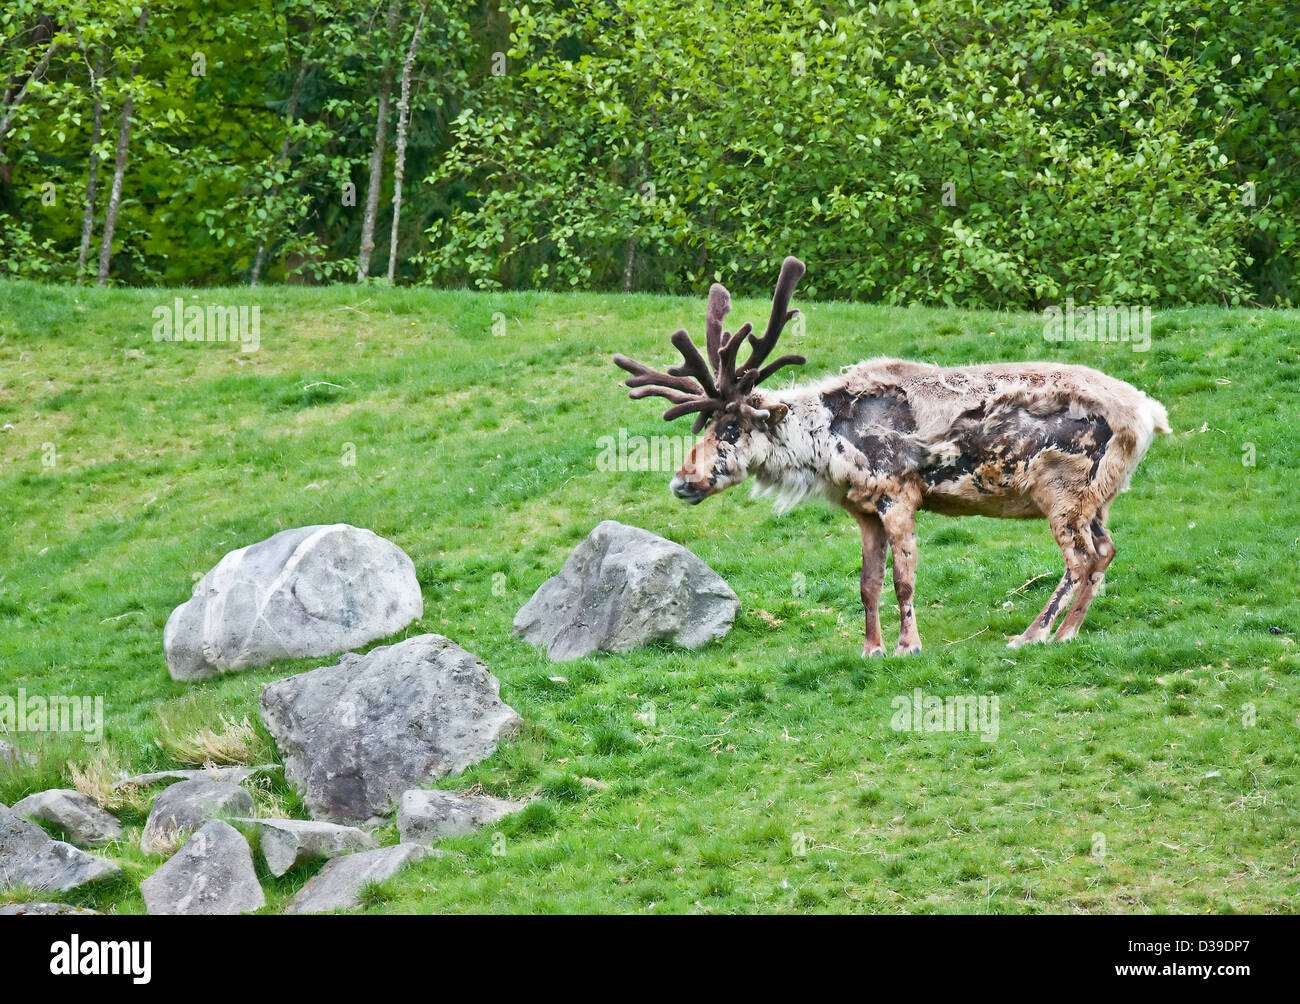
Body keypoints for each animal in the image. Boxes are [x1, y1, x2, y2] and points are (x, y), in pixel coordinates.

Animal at [614, 257, 1171, 656]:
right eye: (704, 425)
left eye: (731, 426)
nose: (682, 480)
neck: (828, 446)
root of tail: (1149, 415)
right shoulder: (863, 508)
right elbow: (867, 583)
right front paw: (871, 649)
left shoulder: (899, 494)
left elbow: (904, 580)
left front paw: (909, 646)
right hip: (1097, 499)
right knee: (1106, 552)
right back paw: (1067, 633)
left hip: (1063, 492)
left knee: (1080, 559)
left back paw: (1032, 635)